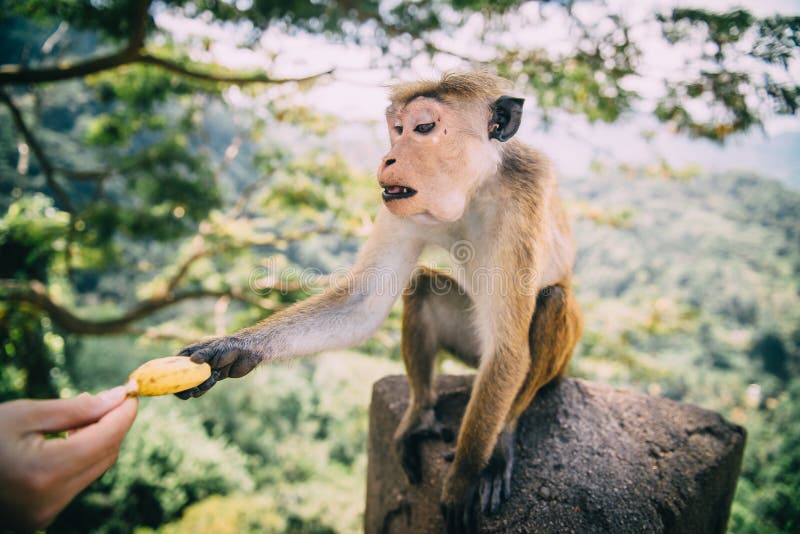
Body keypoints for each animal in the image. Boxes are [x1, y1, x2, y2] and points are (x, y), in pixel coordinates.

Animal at [176, 71, 583, 534]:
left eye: (424, 127)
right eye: (398, 128)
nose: (388, 159)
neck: (474, 190)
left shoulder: (522, 201)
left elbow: (509, 351)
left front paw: (463, 478)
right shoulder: (400, 204)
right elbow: (363, 302)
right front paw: (234, 349)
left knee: (549, 303)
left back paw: (502, 438)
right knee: (423, 288)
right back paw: (420, 414)